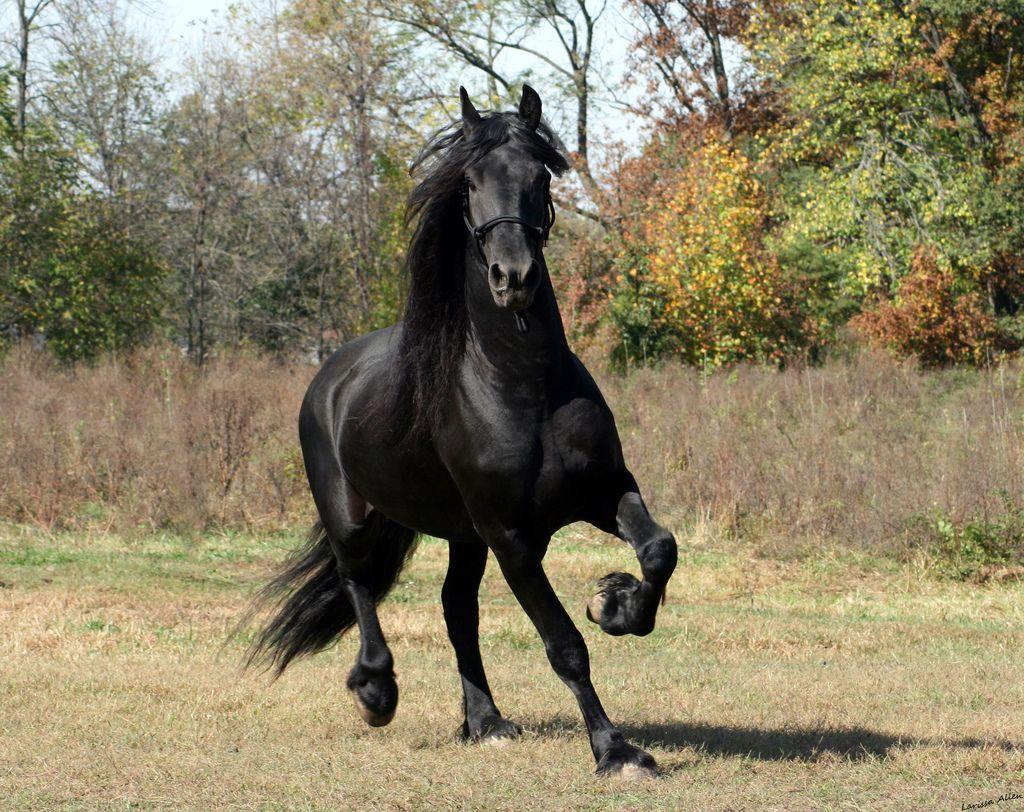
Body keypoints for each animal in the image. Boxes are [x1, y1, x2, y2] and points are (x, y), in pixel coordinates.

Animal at [245, 85, 678, 778]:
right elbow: (565, 645)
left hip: (462, 535)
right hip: (356, 517)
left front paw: (613, 602)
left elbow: (659, 549)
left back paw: (486, 722)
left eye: (540, 176)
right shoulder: (512, 539)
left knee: (455, 608)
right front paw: (616, 751)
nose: (513, 277)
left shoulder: (603, 492)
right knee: (358, 580)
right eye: (469, 184)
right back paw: (376, 690)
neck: (524, 387)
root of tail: (330, 376)